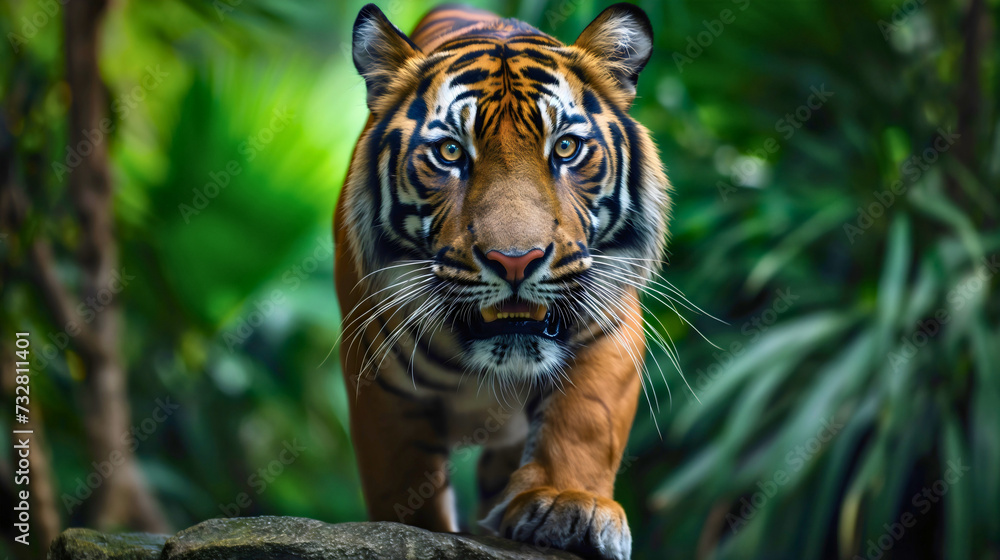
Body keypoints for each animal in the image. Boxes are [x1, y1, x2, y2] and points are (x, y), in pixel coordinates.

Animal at [334, 3, 670, 559]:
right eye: (450, 153)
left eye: (566, 148)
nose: (515, 261)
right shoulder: (376, 374)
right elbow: (402, 480)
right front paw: (416, 534)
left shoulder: (608, 324)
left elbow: (585, 419)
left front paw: (569, 503)